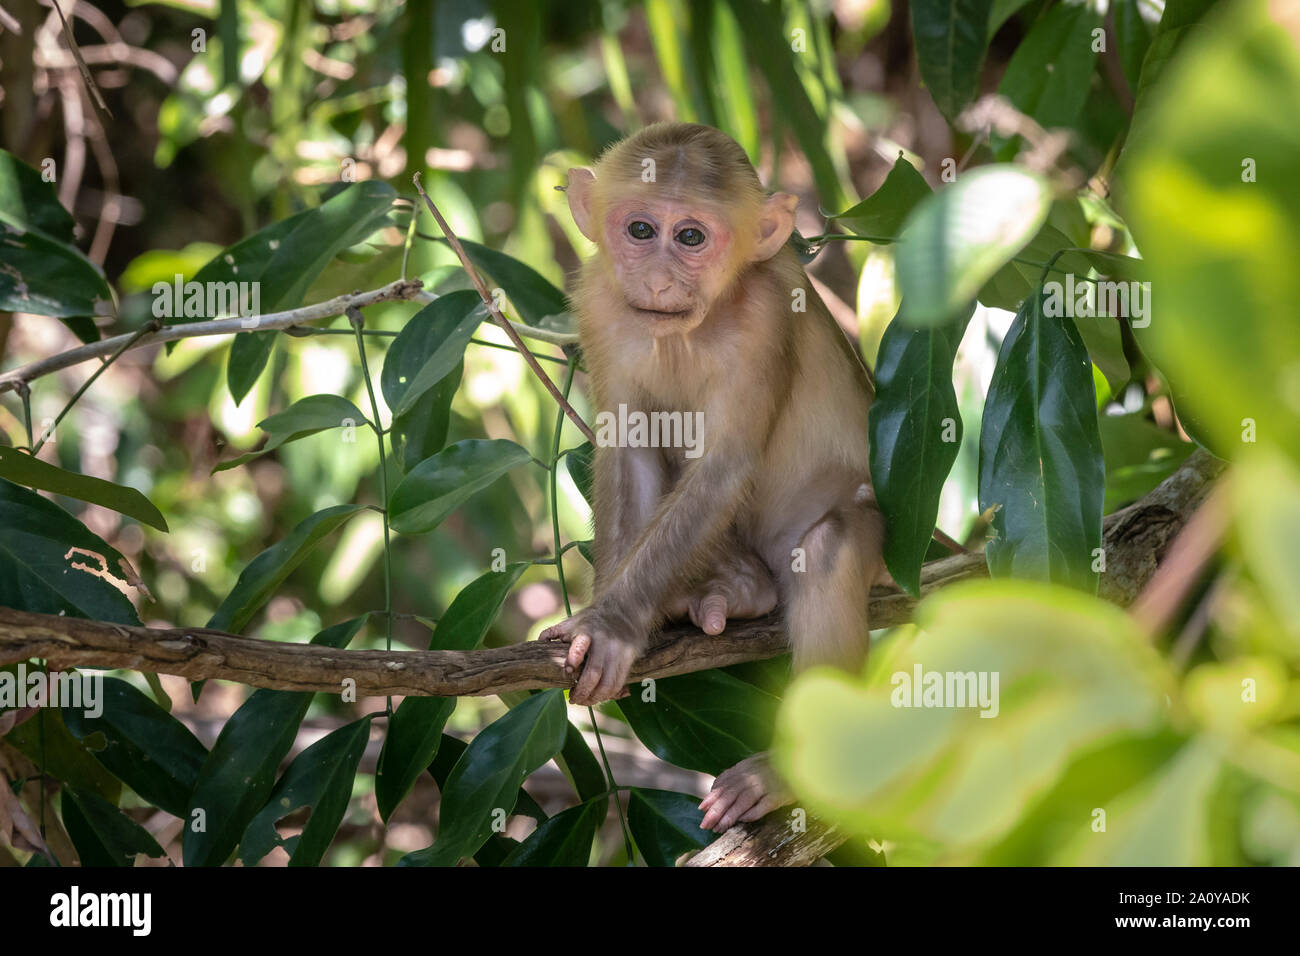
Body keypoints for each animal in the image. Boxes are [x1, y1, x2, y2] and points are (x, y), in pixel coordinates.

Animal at [540, 122, 886, 833]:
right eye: (641, 229)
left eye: (692, 237)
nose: (658, 276)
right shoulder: (601, 304)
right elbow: (630, 445)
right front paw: (617, 615)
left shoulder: (766, 318)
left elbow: (727, 464)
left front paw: (613, 625)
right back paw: (740, 586)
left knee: (830, 548)